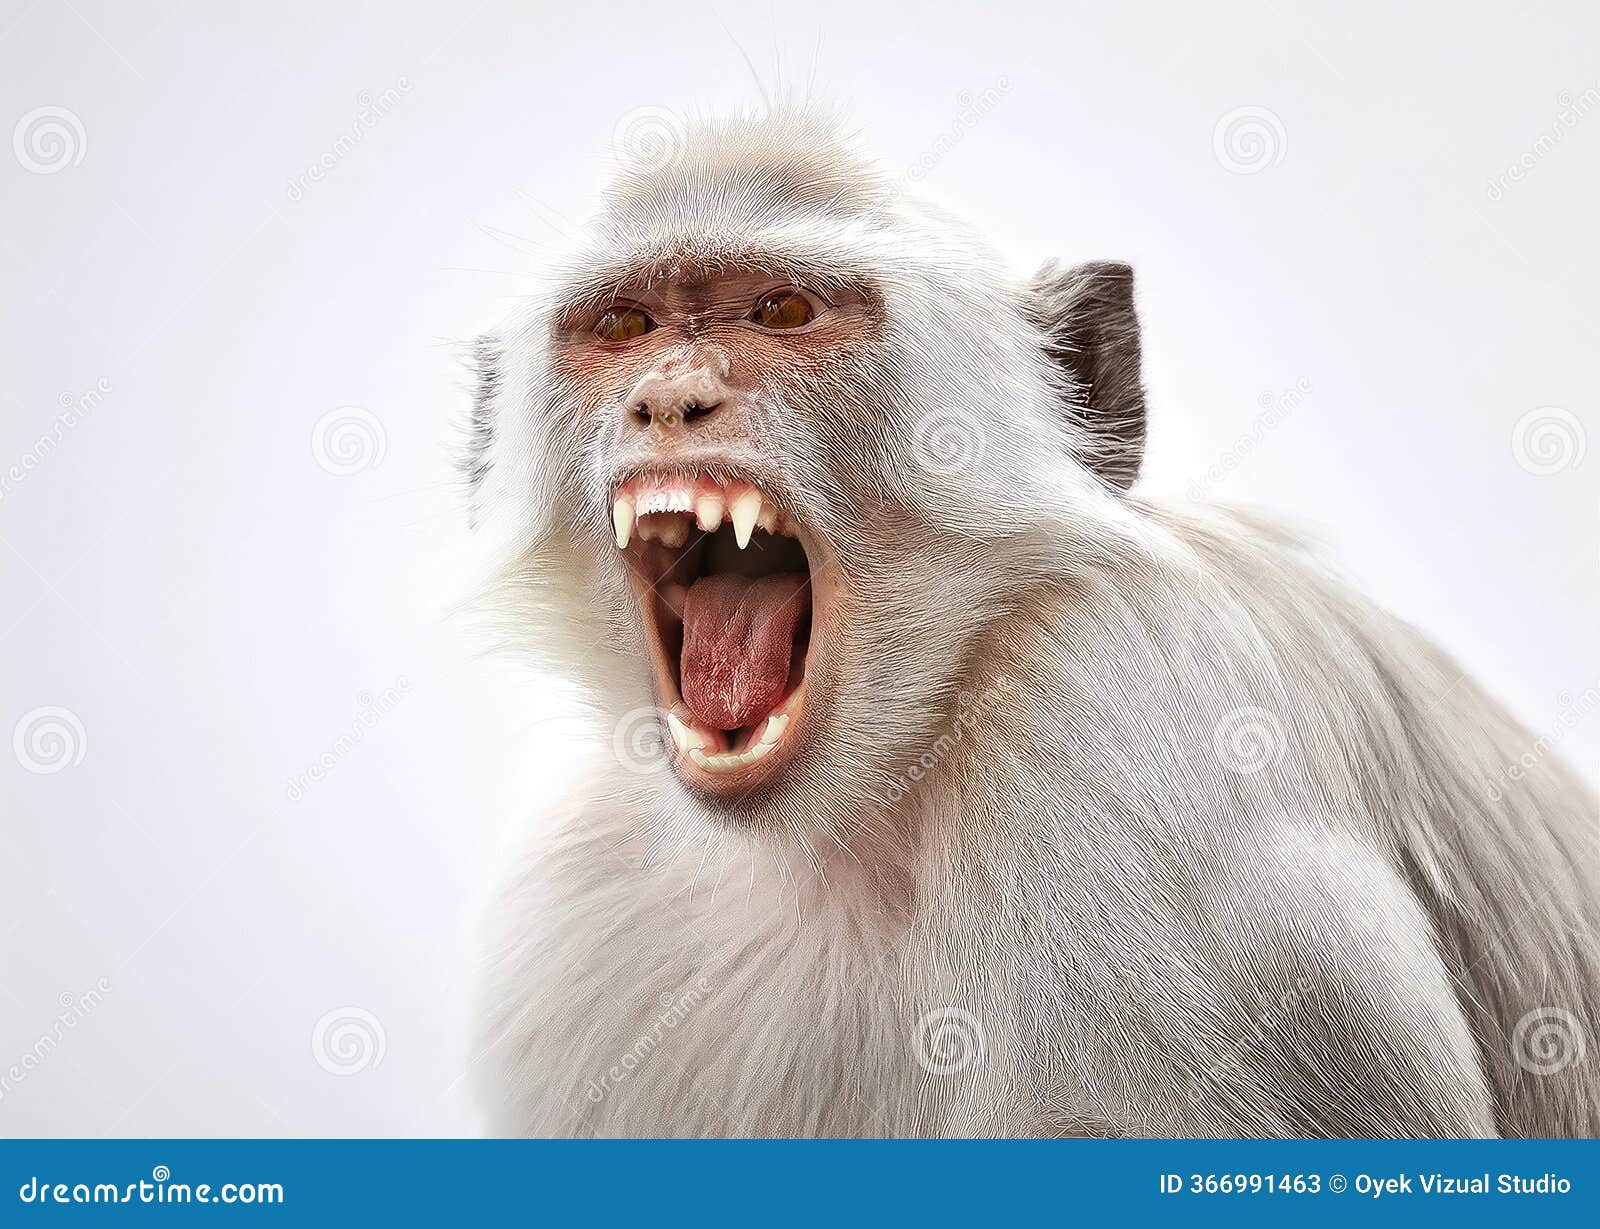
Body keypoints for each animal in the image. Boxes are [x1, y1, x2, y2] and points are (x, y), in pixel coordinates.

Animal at [461, 107, 1599, 1138]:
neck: (853, 823)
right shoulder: (577, 903)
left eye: (782, 309)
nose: (668, 400)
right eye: (625, 329)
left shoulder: (1125, 736)